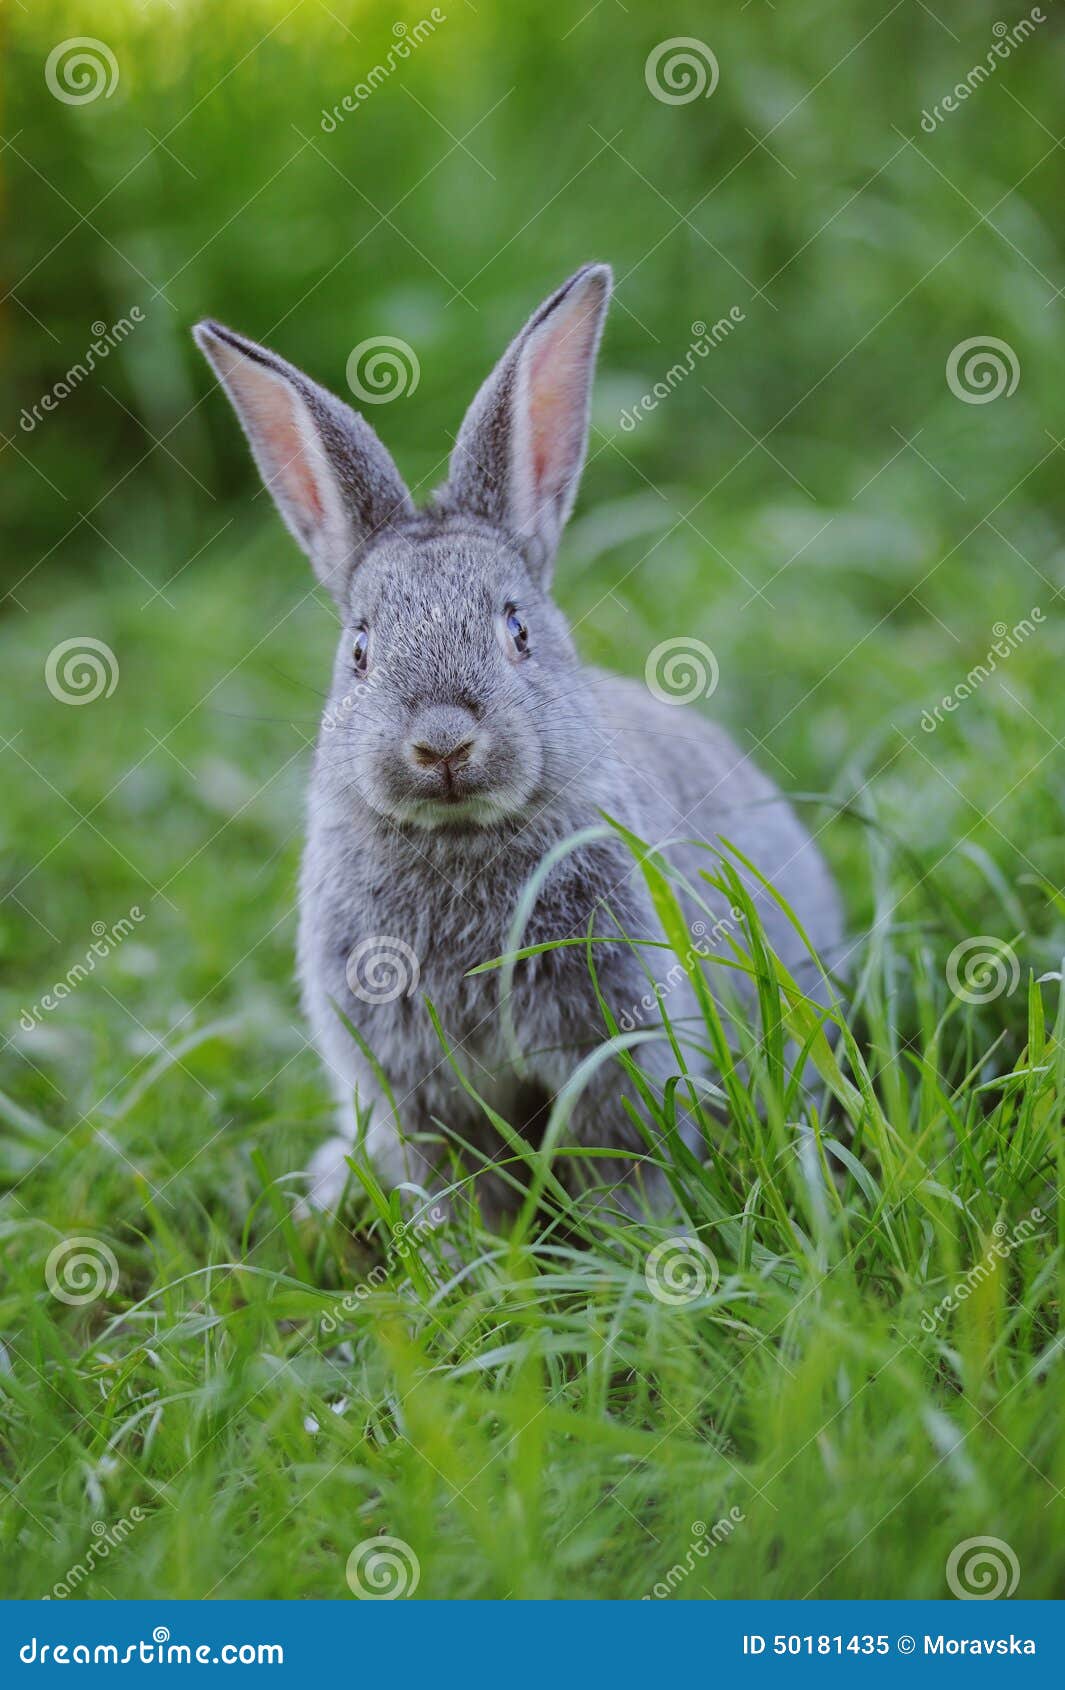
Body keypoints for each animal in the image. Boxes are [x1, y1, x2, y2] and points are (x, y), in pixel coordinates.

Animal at [193, 263, 844, 1225]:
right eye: (360, 650)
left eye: (517, 632)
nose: (442, 743)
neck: (462, 837)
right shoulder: (414, 1085)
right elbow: (462, 1183)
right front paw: (472, 1259)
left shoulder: (618, 1040)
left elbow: (620, 1159)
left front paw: (630, 1244)